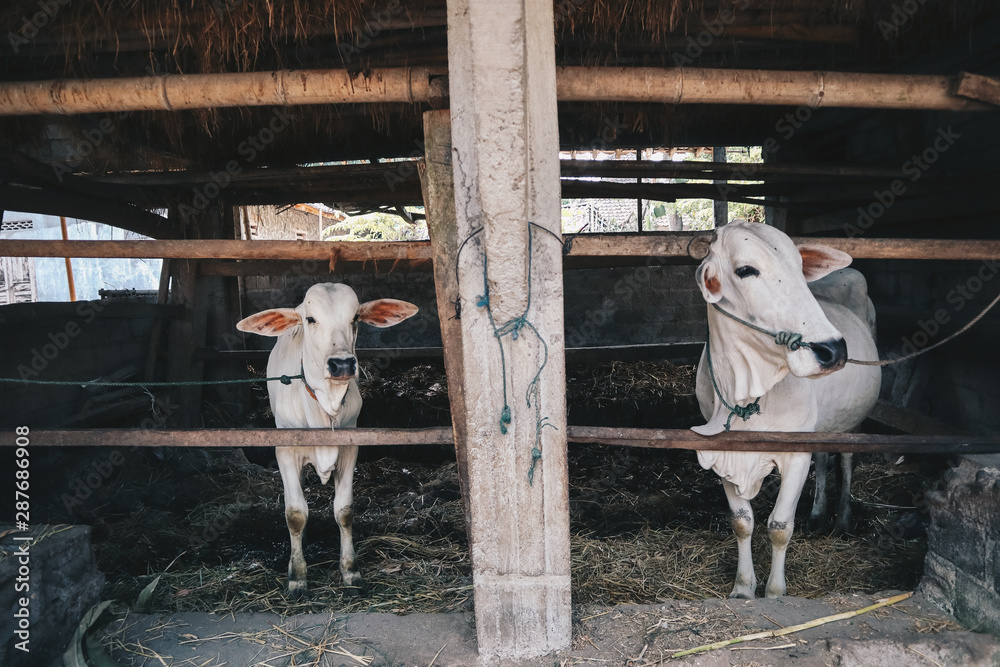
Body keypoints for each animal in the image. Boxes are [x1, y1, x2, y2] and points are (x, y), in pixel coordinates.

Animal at [237, 283, 418, 598]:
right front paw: (297, 576)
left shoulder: (349, 448)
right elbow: (295, 513)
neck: (325, 409)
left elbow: (344, 511)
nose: (341, 364)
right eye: (310, 319)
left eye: (355, 318)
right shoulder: (286, 449)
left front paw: (351, 572)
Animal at [692, 221, 880, 599]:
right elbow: (742, 523)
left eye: (799, 266)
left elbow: (779, 526)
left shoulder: (795, 453)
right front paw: (744, 588)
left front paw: (776, 593)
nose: (832, 350)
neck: (747, 390)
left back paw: (842, 520)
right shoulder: (724, 452)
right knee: (822, 459)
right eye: (745, 270)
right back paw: (818, 516)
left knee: (845, 461)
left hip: (851, 424)